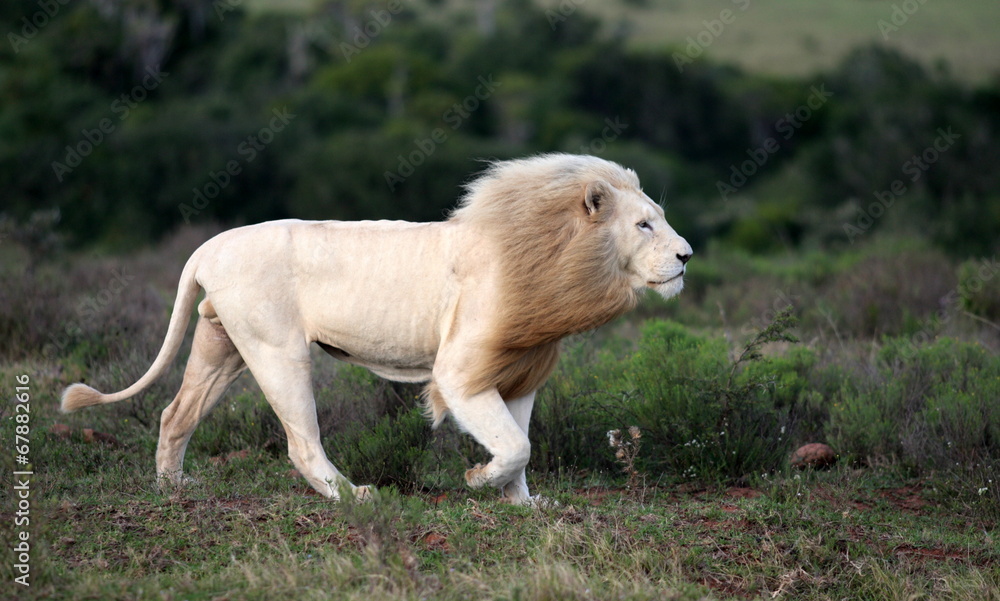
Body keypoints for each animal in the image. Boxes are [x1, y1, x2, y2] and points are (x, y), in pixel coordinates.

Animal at [61, 153, 692, 504]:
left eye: (660, 219)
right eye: (643, 225)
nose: (687, 256)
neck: (560, 261)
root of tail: (208, 246)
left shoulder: (520, 370)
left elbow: (522, 444)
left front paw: (522, 503)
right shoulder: (460, 371)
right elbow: (515, 445)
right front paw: (478, 481)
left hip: (224, 345)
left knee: (176, 414)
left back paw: (172, 488)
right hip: (277, 349)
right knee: (300, 440)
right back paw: (352, 495)